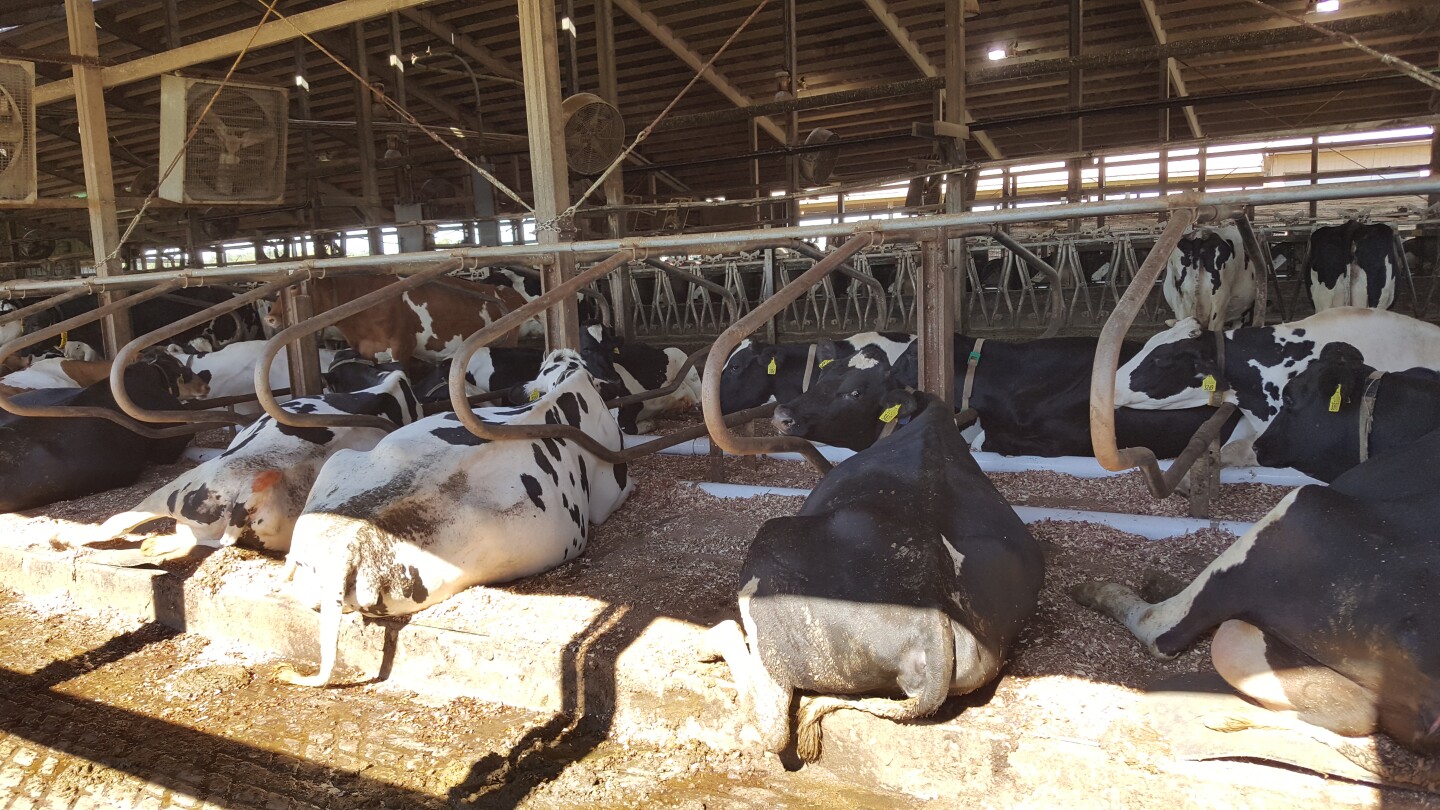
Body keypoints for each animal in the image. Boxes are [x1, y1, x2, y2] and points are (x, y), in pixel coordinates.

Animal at [262, 272, 528, 367]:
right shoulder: (368, 350)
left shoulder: (401, 347)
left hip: (508, 342)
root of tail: (508, 291)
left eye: (294, 287)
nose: (270, 318)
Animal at [702, 385, 1043, 762]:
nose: (782, 415)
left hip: (771, 553)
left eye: (852, 392)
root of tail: (932, 608)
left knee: (772, 724)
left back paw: (712, 649)